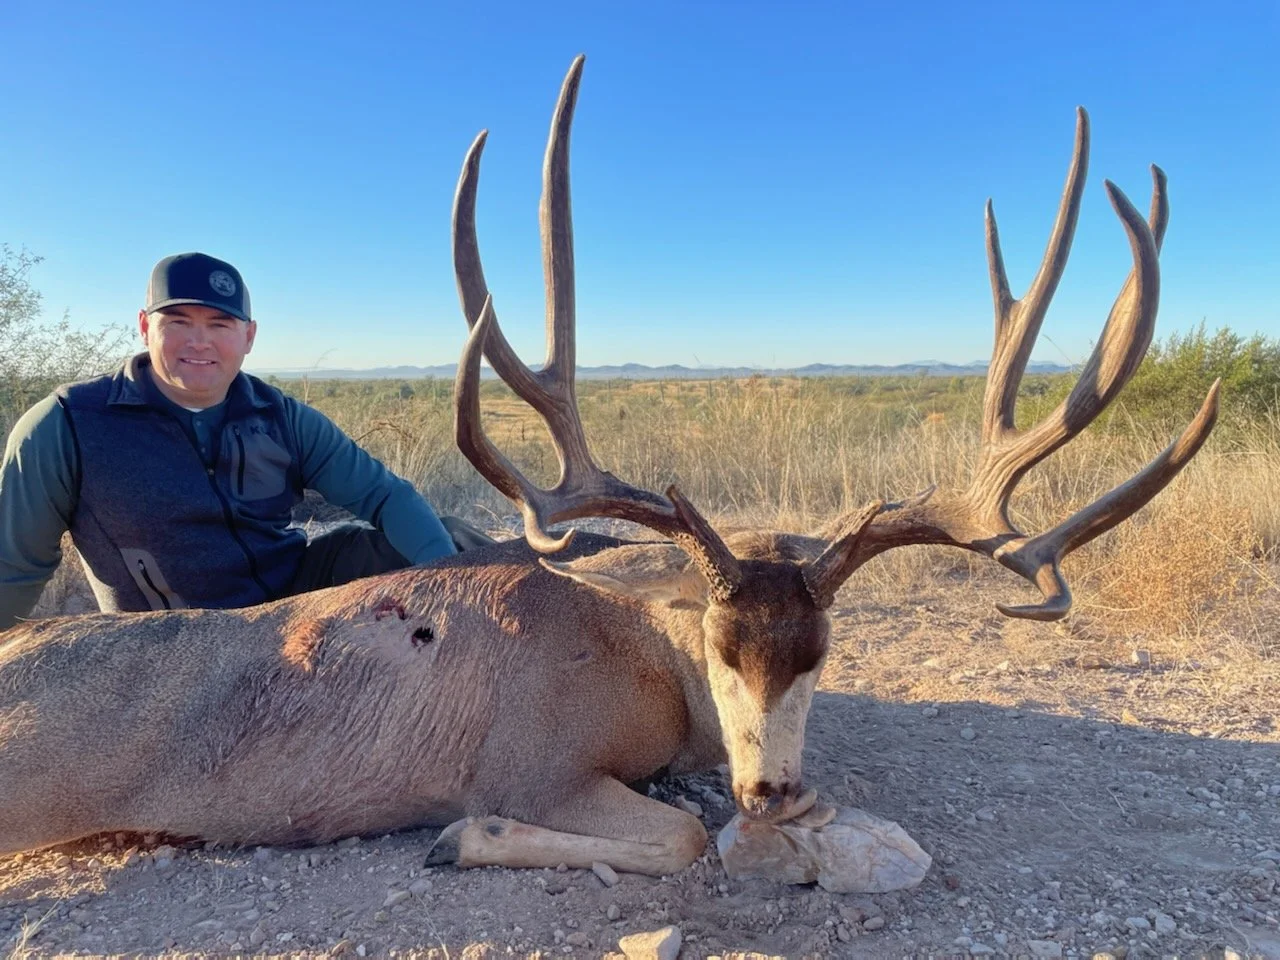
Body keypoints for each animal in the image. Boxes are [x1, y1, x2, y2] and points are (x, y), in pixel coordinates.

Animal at [0, 57, 1217, 877]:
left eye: (822, 652)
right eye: (720, 646)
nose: (770, 786)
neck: (634, 649)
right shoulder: (532, 759)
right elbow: (679, 836)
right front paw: (461, 839)